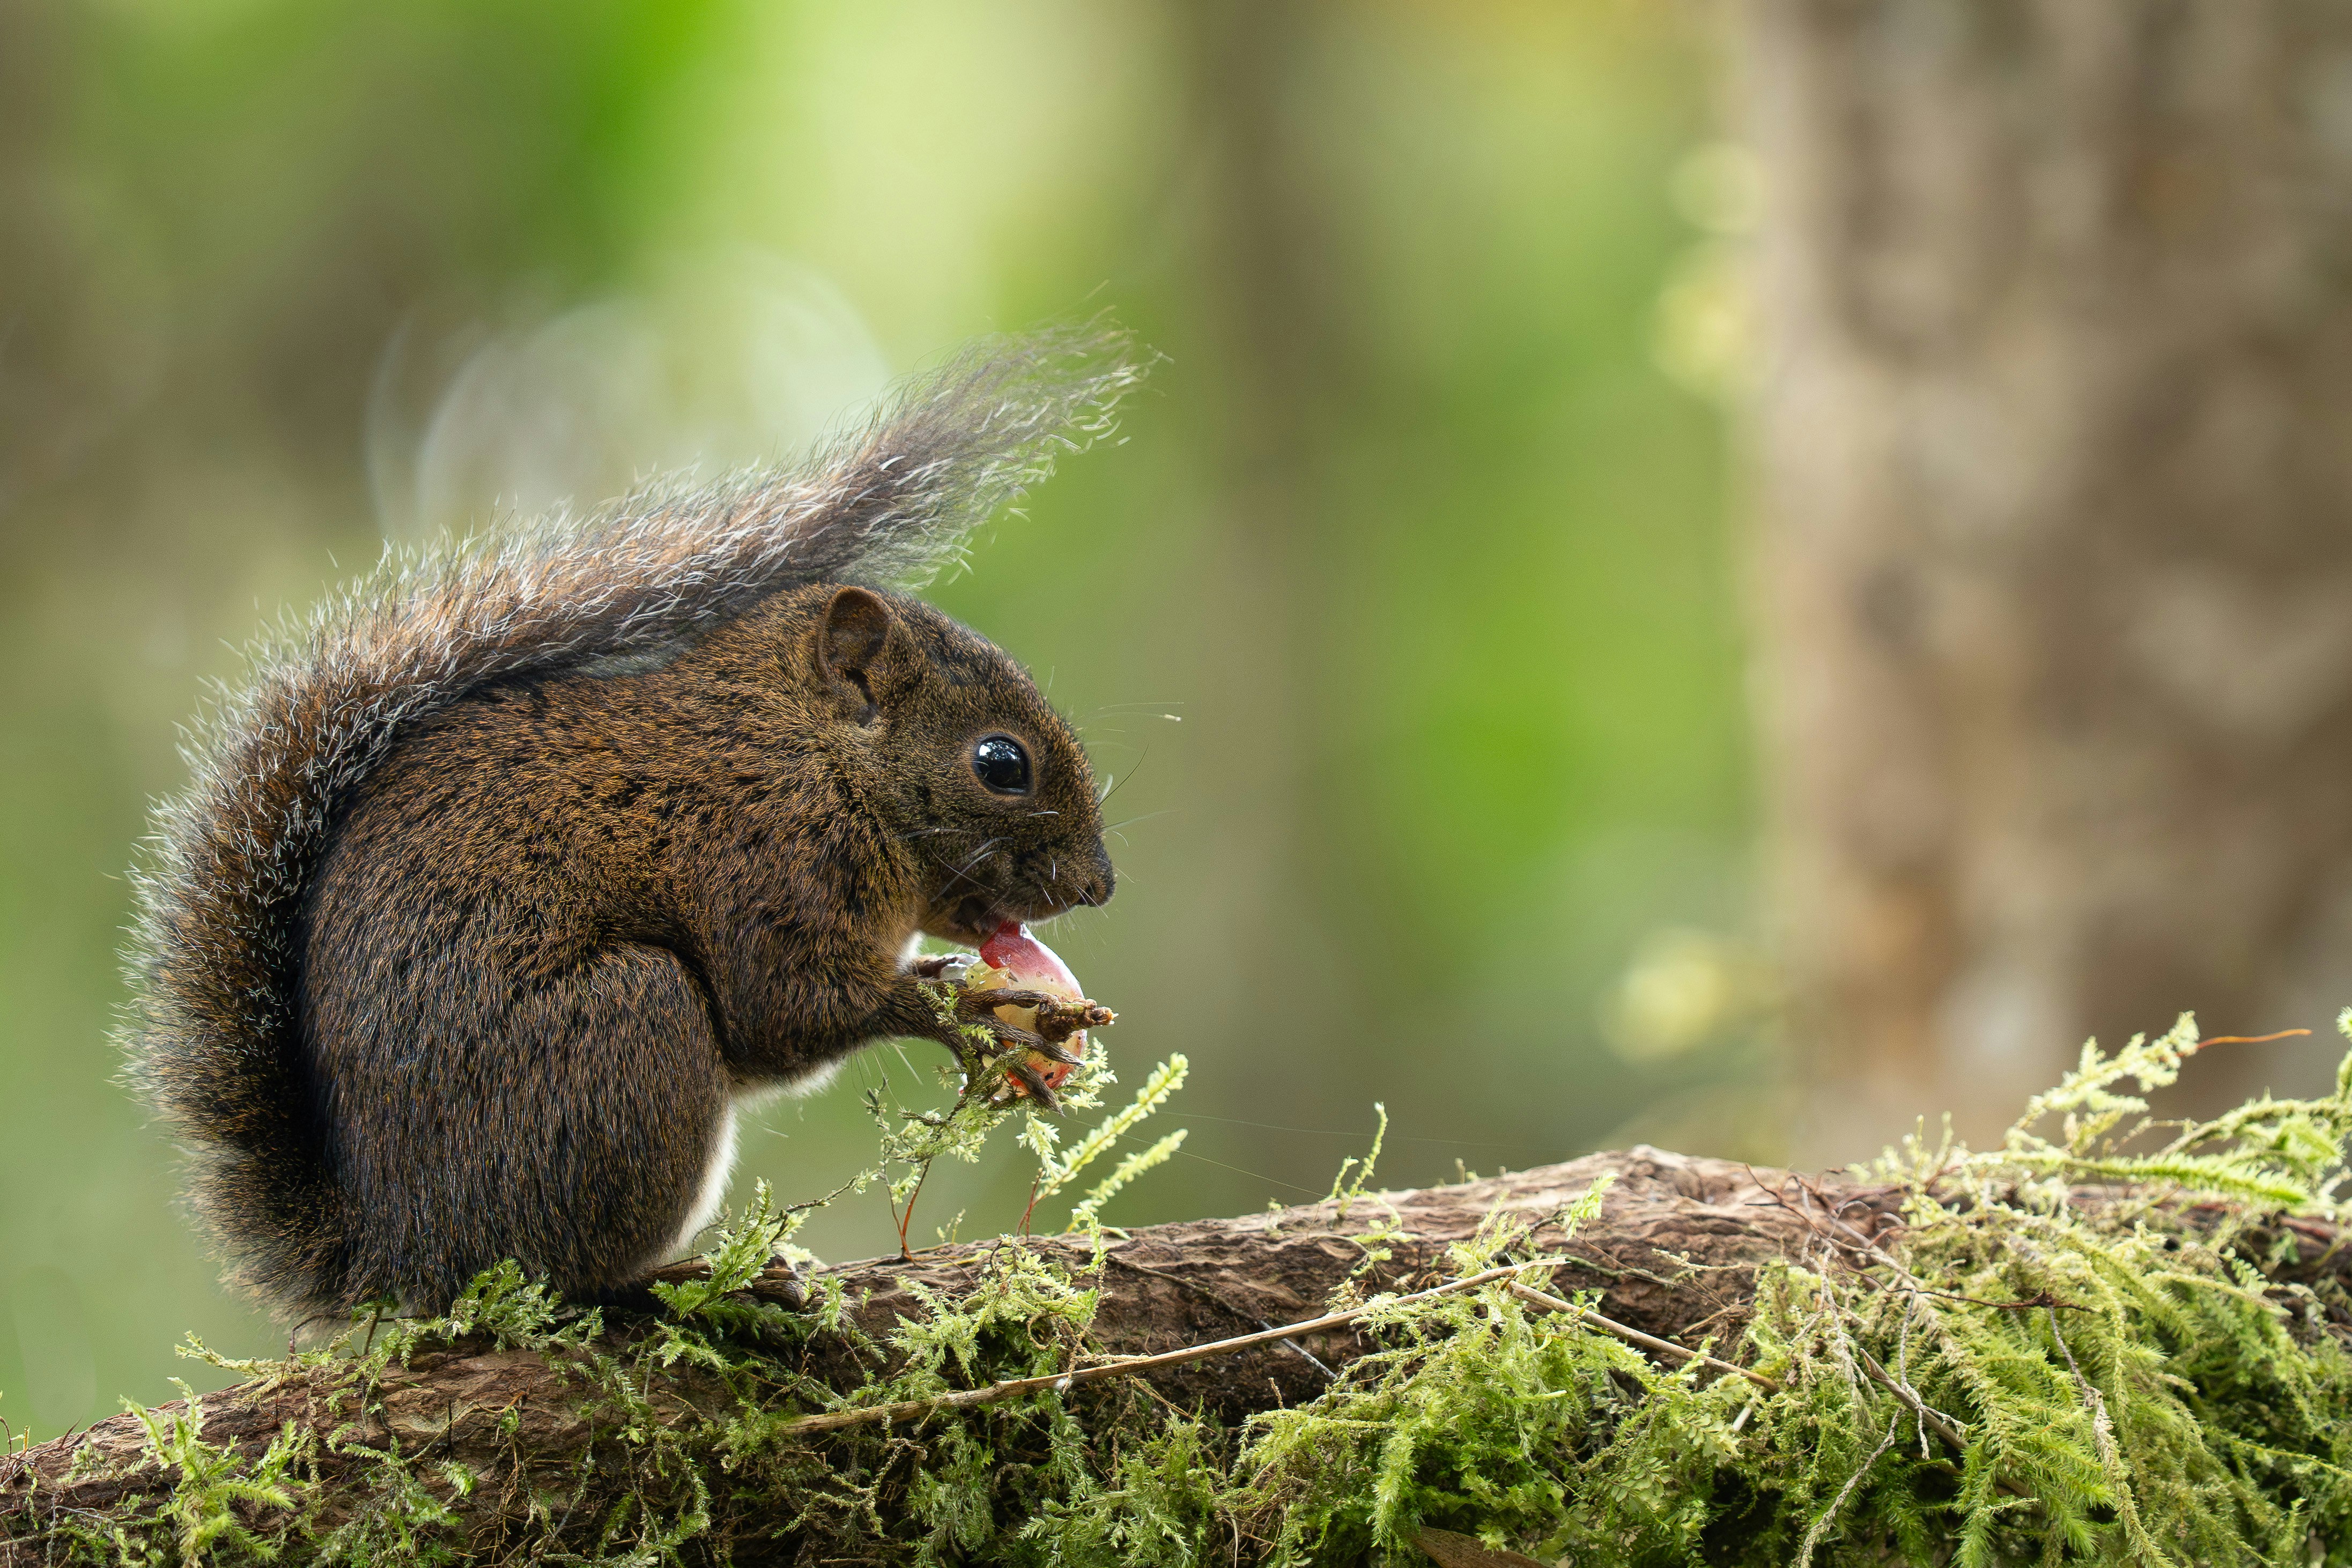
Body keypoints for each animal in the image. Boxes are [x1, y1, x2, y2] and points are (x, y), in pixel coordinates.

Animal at [123, 326, 1143, 1319]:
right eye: (1000, 762)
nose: (1099, 885)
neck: (811, 755)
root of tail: (401, 1251)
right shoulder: (765, 857)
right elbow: (787, 1008)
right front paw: (966, 1008)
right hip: (628, 1034)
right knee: (565, 1274)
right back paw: (695, 1281)